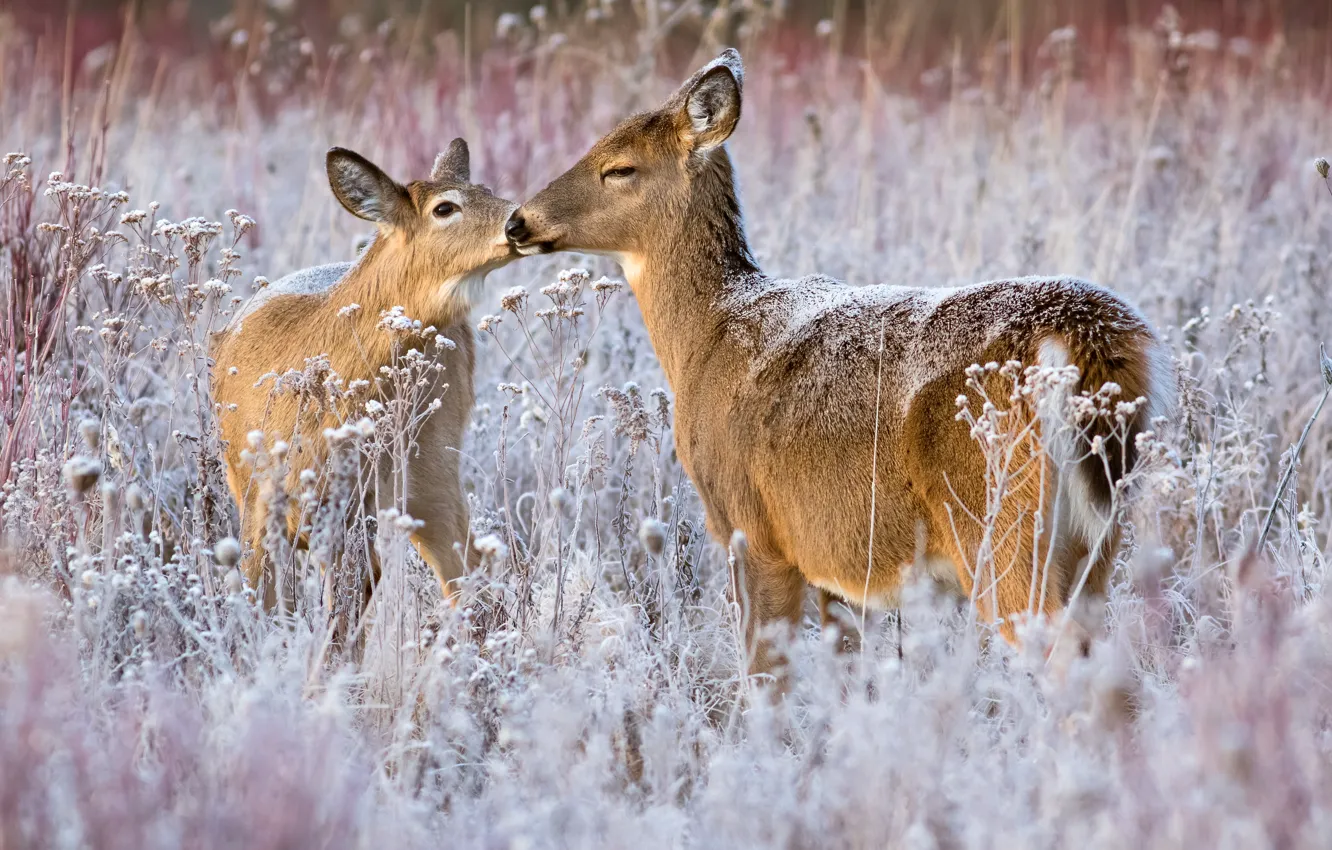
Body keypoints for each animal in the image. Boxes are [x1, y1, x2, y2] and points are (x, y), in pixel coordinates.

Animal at [211, 140, 517, 617]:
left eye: (487, 189)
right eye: (445, 207)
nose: (521, 219)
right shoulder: (258, 498)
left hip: (429, 464)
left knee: (468, 569)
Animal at [504, 49, 1175, 681]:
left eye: (619, 167)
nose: (516, 222)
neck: (708, 338)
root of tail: (1095, 335)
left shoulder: (755, 529)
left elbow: (764, 681)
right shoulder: (839, 566)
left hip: (1001, 521)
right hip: (1095, 543)